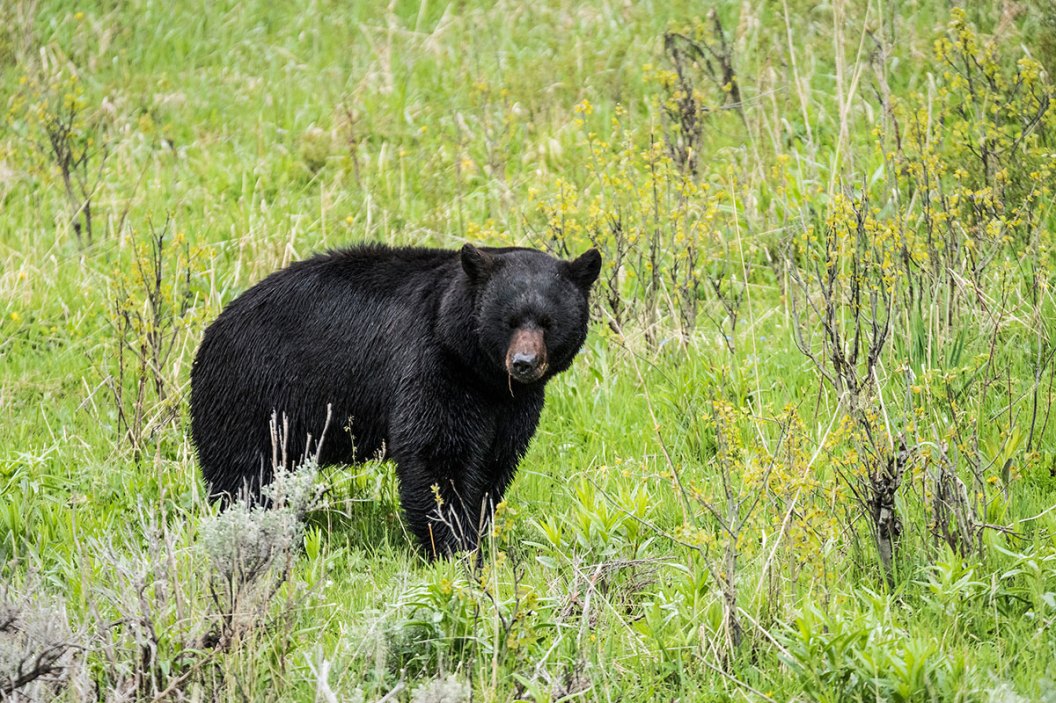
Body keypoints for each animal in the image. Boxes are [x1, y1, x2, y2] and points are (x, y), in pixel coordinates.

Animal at [189, 243, 601, 558]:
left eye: (548, 323)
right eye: (509, 320)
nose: (524, 363)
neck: (479, 370)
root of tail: (214, 328)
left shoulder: (512, 404)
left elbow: (494, 462)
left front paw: (476, 530)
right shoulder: (433, 364)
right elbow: (438, 454)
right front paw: (455, 546)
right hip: (251, 396)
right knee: (245, 473)